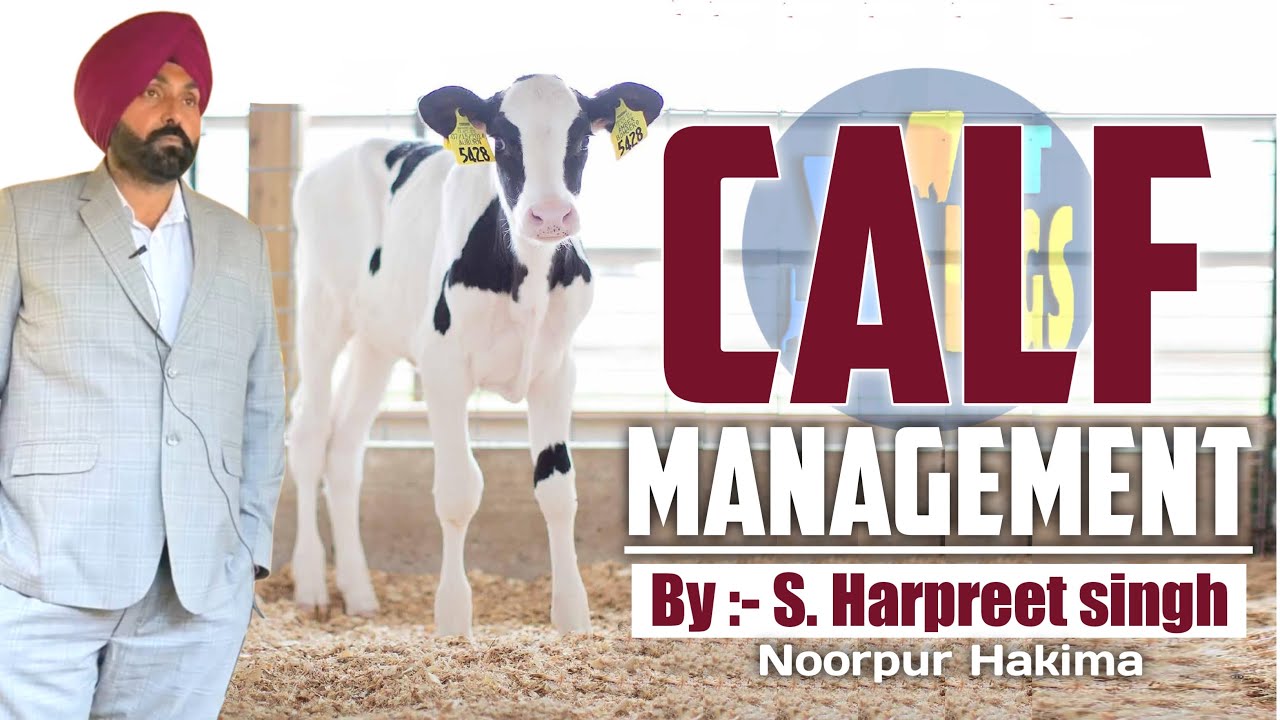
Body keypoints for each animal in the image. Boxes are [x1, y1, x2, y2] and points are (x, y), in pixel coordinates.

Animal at [286, 75, 663, 637]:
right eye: (502, 142)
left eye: (582, 141)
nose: (550, 215)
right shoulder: (443, 369)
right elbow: (459, 490)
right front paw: (453, 620)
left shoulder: (557, 371)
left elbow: (558, 489)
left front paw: (572, 616)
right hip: (320, 310)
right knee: (309, 434)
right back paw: (311, 585)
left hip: (377, 342)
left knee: (345, 449)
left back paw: (358, 592)